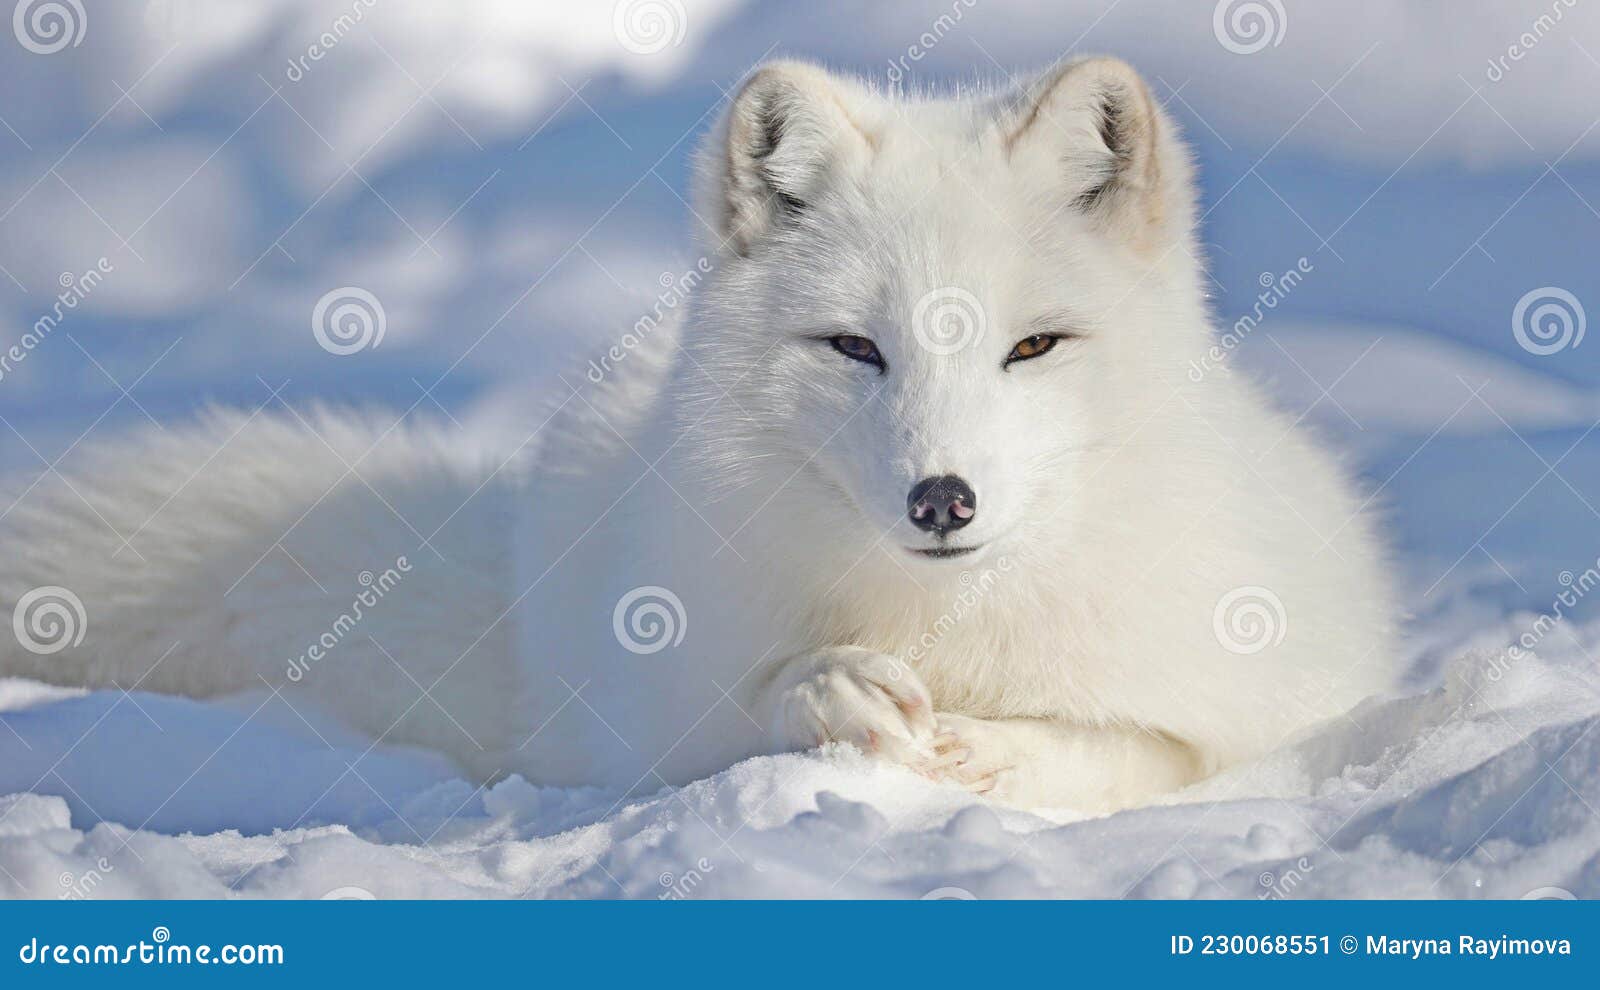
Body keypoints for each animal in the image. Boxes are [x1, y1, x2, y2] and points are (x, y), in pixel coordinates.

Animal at [0, 55, 1397, 813]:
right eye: (855, 348)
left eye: (1033, 348)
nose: (941, 500)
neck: (948, 628)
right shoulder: (666, 716)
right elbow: (755, 702)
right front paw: (837, 692)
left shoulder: (1260, 701)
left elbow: (1135, 749)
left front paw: (992, 749)